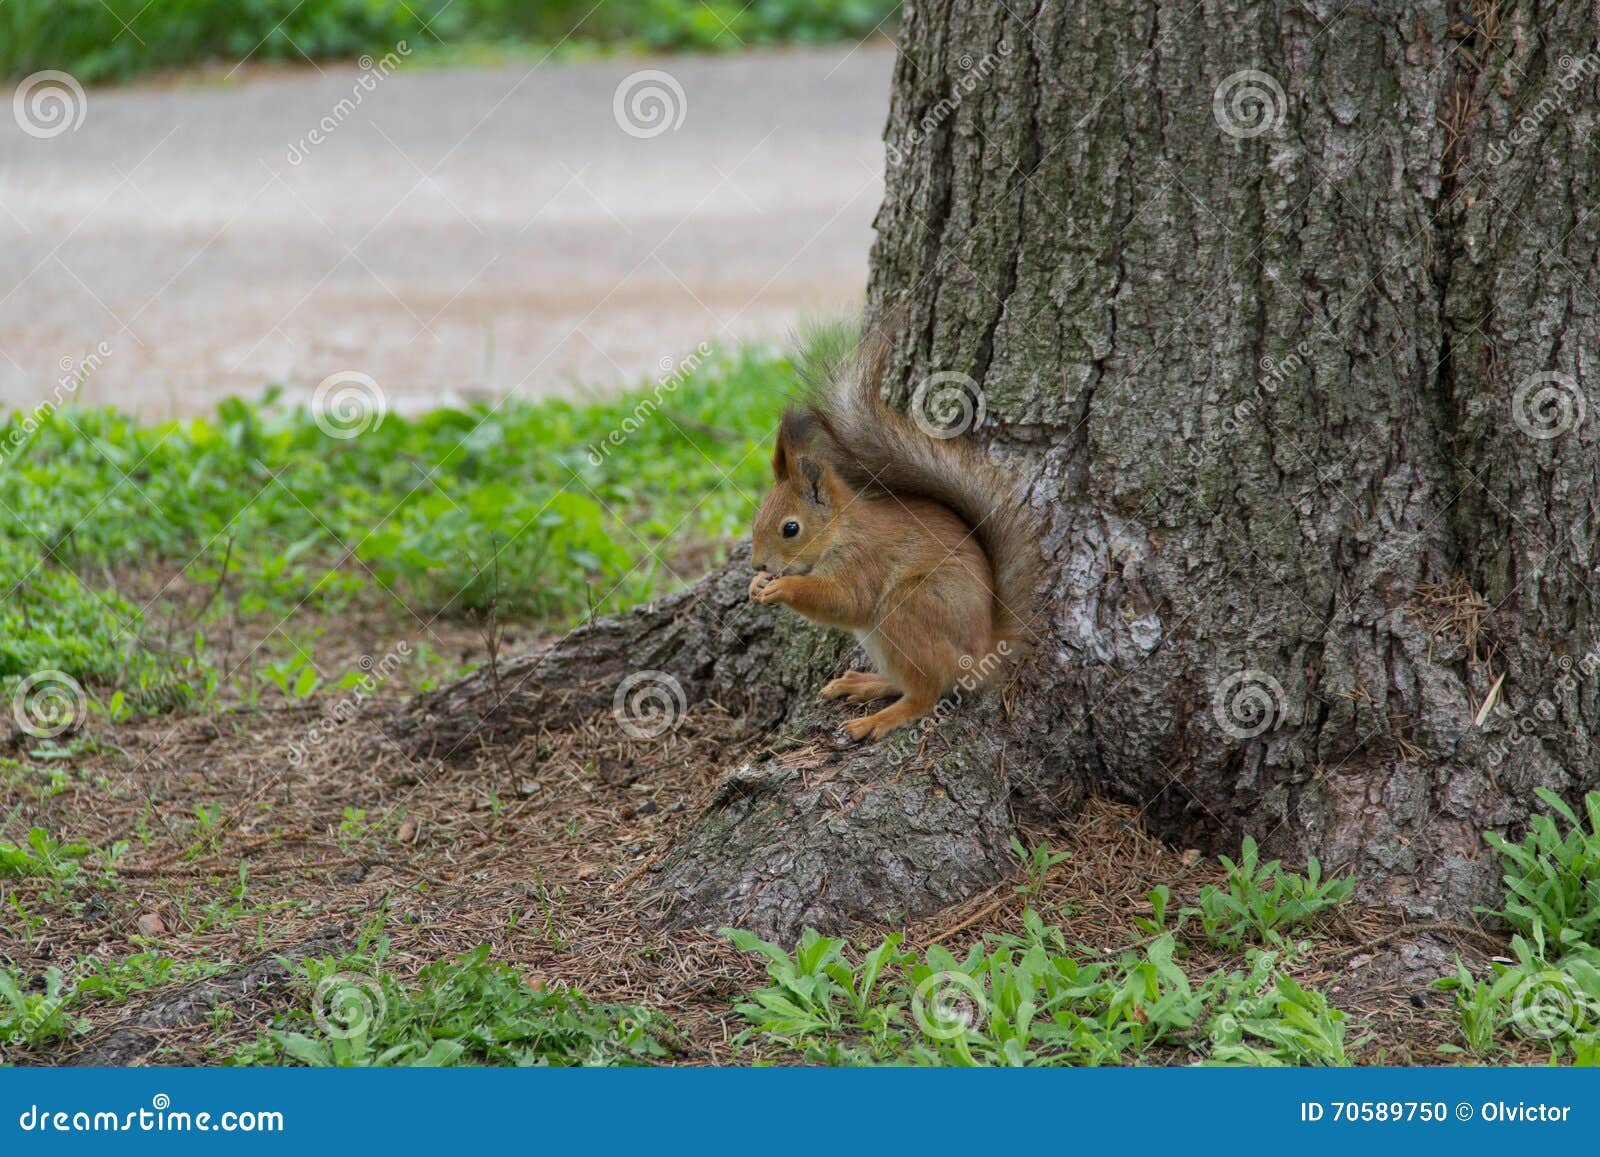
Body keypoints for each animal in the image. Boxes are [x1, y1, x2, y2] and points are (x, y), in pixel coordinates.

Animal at [747, 327, 1040, 741]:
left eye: (791, 528)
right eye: (757, 516)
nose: (757, 564)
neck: (841, 530)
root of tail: (983, 654)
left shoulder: (863, 561)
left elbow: (845, 601)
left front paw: (781, 588)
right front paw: (756, 585)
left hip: (908, 609)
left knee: (924, 696)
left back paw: (876, 721)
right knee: (907, 682)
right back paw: (865, 683)